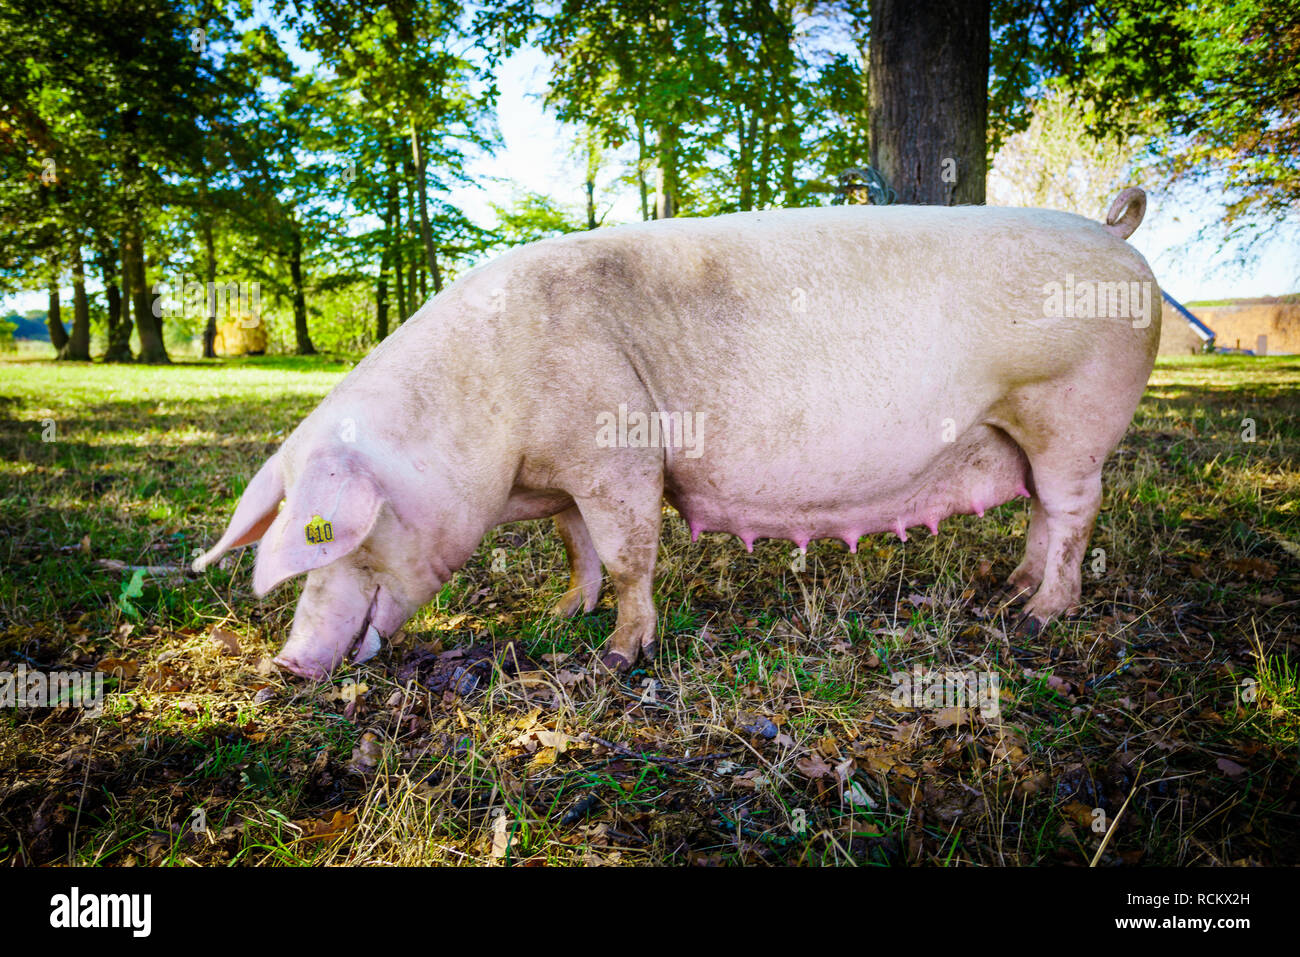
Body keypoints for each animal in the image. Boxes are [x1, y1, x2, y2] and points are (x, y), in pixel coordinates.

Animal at [194, 188, 1160, 679]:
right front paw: (560, 614)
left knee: (1075, 511)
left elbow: (629, 553)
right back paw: (1005, 593)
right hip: (1026, 432)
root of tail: (1114, 235)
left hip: (1071, 411)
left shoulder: (617, 450)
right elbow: (576, 544)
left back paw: (1040, 615)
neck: (488, 424)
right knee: (1041, 513)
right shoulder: (565, 476)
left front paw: (620, 656)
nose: (286, 665)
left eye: (336, 537)